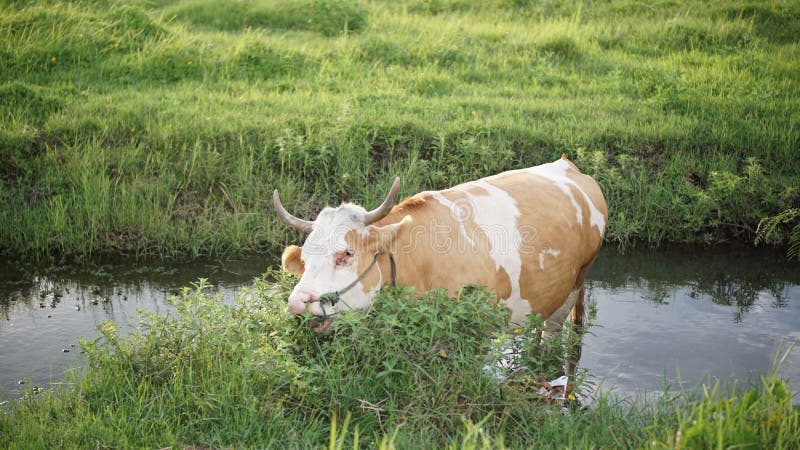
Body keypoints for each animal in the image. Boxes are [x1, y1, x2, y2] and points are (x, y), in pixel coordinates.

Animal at [274, 156, 607, 336]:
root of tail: (569, 166)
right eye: (305, 260)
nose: (296, 303)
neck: (421, 264)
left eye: (346, 253)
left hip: (575, 283)